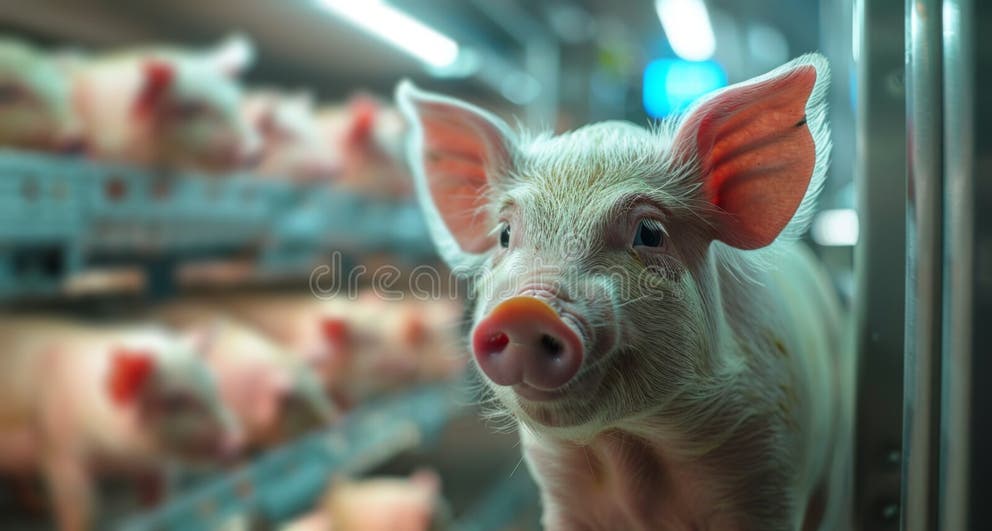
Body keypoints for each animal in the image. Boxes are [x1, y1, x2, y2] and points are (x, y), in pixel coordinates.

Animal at [0, 317, 241, 531]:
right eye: (174, 402)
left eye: (214, 387)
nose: (234, 440)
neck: (116, 458)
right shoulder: (58, 450)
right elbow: (80, 508)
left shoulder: (155, 464)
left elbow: (158, 500)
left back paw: (37, 506)